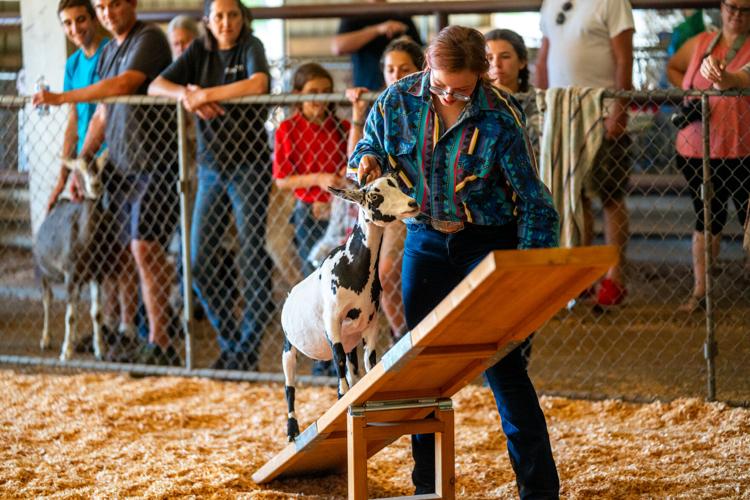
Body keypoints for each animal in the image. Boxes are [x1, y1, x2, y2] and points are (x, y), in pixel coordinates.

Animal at [34, 153, 123, 361]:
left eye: (99, 166)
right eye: (78, 169)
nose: (95, 185)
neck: (85, 240)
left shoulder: (97, 273)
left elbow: (96, 313)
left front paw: (100, 349)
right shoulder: (70, 273)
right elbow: (70, 315)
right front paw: (66, 351)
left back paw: (73, 338)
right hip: (42, 269)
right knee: (47, 299)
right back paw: (46, 339)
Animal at [281, 175, 419, 441]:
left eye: (396, 184)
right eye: (374, 195)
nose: (412, 203)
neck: (352, 267)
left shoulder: (371, 321)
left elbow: (369, 361)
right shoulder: (332, 321)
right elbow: (337, 361)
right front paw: (342, 396)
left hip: (350, 339)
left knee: (352, 368)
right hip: (288, 348)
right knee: (290, 387)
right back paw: (293, 430)